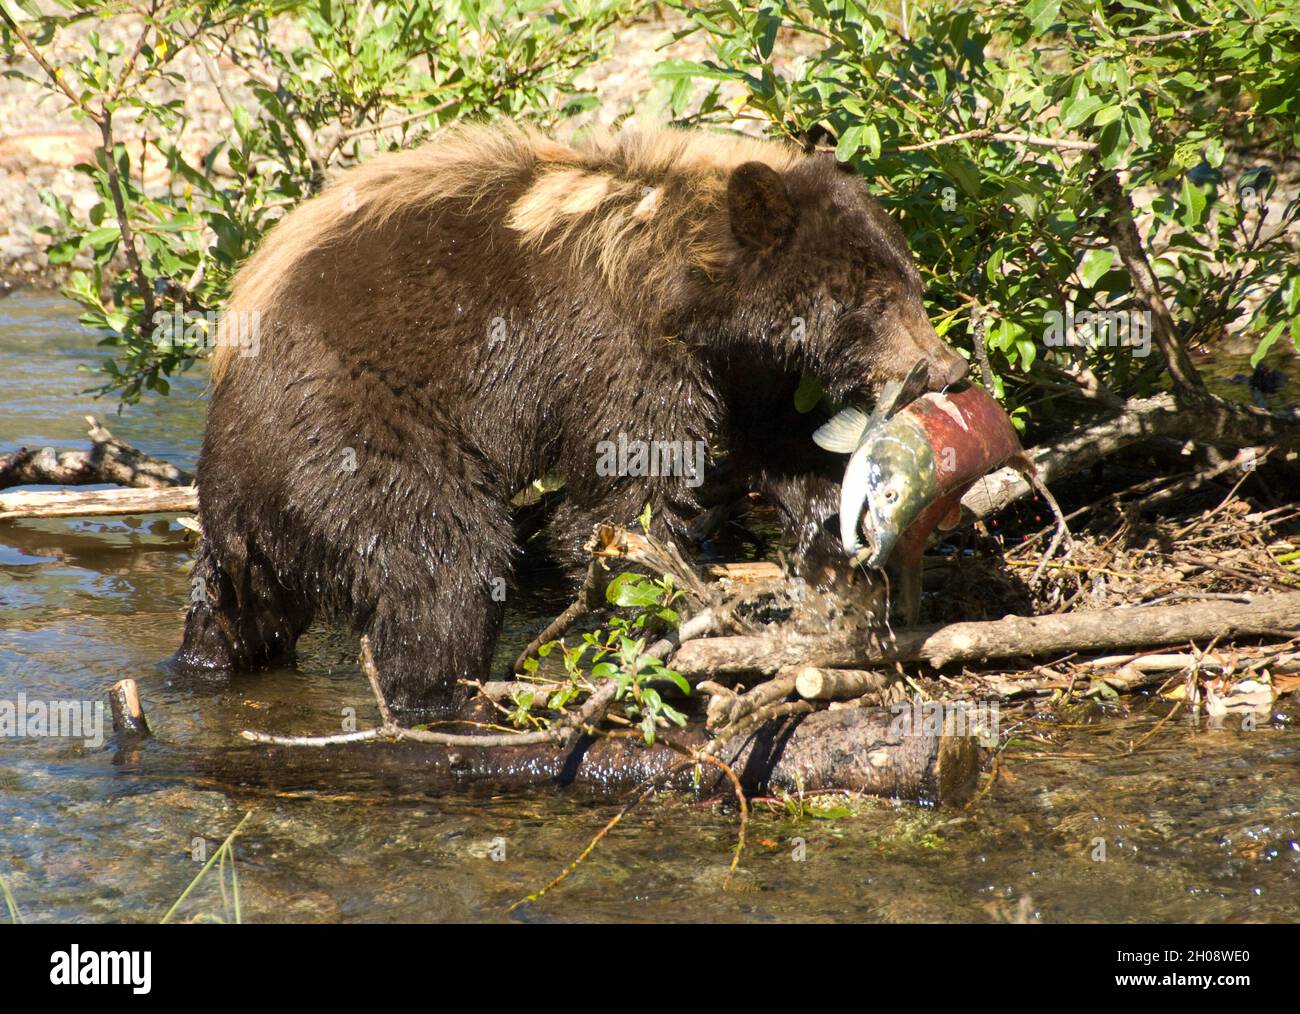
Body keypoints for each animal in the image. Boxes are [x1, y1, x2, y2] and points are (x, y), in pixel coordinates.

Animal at [176, 123, 968, 716]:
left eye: (910, 282)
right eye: (872, 299)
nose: (947, 367)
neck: (683, 282)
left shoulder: (739, 365)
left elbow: (775, 441)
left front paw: (833, 524)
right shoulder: (617, 352)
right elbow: (622, 501)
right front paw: (678, 613)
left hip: (260, 532)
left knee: (240, 613)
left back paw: (209, 658)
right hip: (350, 427)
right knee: (442, 553)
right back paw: (450, 695)